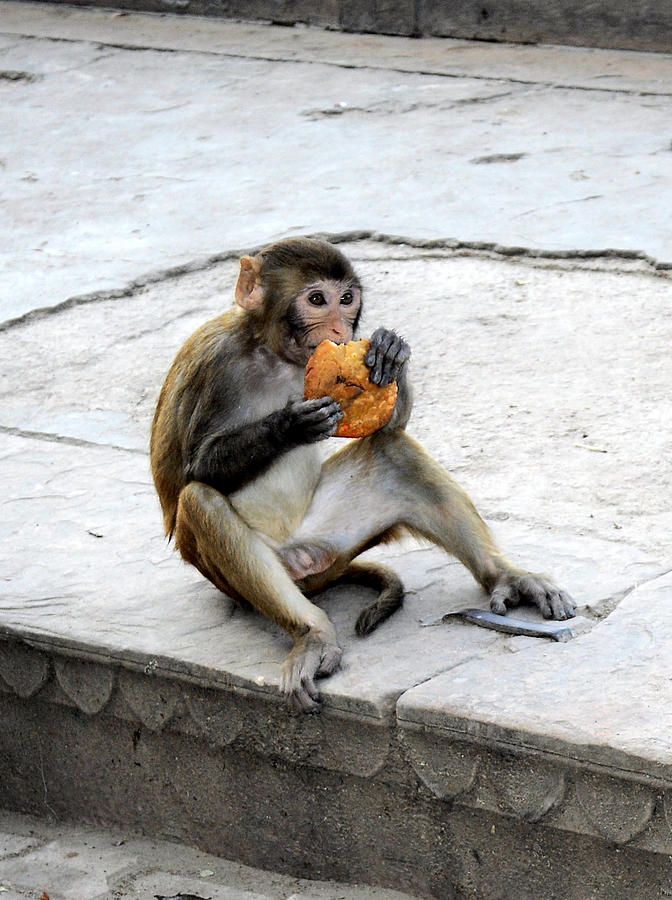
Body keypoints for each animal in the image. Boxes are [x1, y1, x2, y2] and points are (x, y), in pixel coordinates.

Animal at [150, 237, 575, 713]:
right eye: (317, 300)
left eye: (347, 299)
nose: (338, 330)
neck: (273, 354)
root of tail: (306, 564)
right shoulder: (215, 363)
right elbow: (194, 468)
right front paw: (291, 425)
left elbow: (387, 427)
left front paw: (390, 352)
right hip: (245, 579)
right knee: (199, 500)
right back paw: (313, 633)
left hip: (332, 539)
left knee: (394, 452)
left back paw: (505, 576)